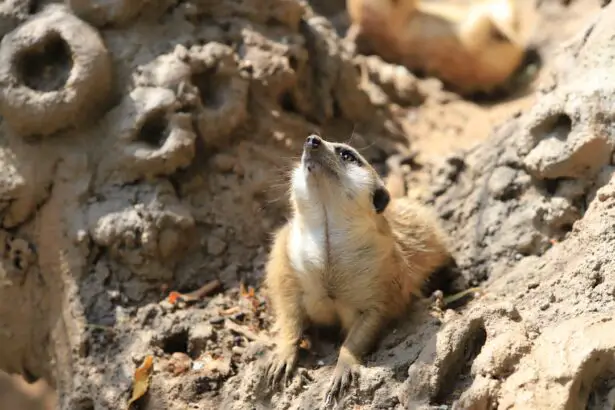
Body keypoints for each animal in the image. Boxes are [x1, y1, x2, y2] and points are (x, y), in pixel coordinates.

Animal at [261, 134, 451, 406]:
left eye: (347, 155)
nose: (312, 140)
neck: (329, 241)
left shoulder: (384, 273)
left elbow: (370, 321)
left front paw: (343, 365)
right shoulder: (284, 257)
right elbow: (289, 311)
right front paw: (283, 353)